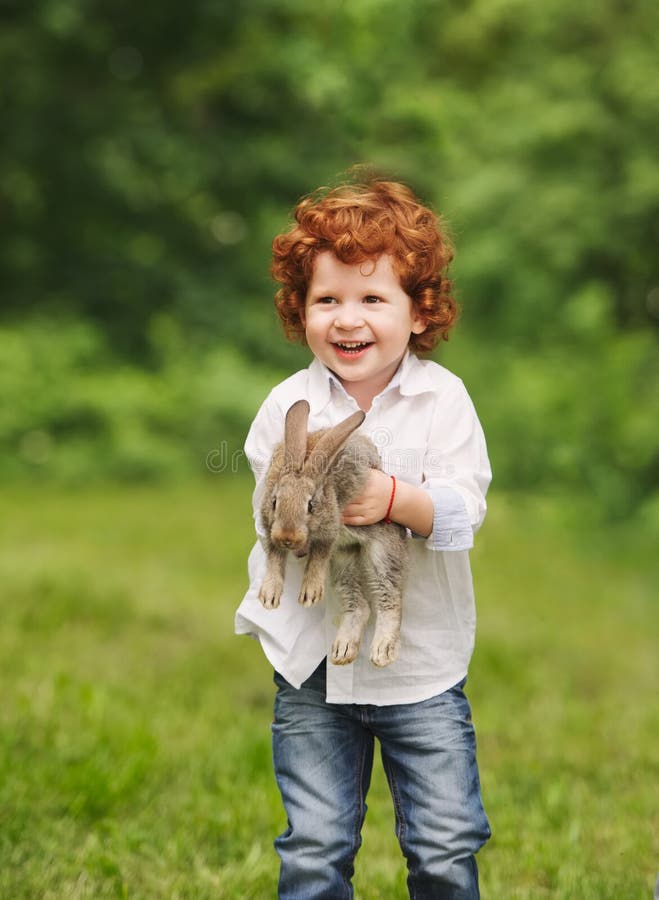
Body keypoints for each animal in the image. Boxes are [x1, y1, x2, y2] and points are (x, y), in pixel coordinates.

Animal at [258, 399, 408, 667]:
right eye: (275, 502)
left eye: (311, 505)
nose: (288, 537)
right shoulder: (270, 528)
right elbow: (274, 559)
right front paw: (269, 595)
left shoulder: (330, 531)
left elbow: (318, 557)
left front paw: (309, 593)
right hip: (344, 560)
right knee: (359, 605)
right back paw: (343, 649)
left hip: (382, 553)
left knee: (391, 599)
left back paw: (382, 651)